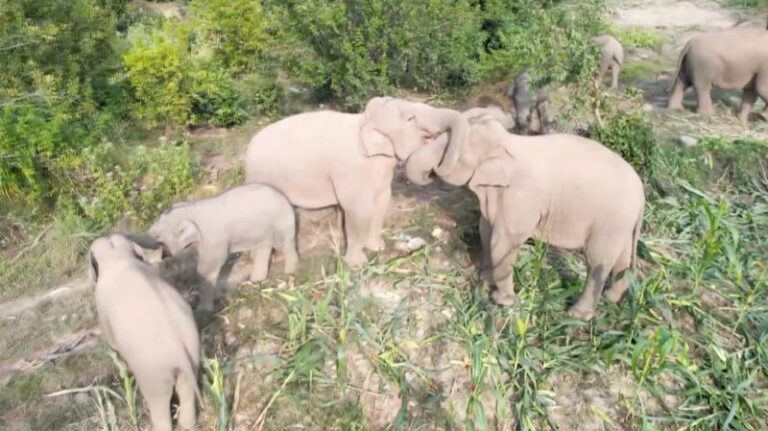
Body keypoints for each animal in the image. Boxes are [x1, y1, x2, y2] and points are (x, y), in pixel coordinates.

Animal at [89, 234, 200, 431]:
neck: (117, 257)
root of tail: (178, 348)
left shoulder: (102, 309)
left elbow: (112, 342)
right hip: (192, 355)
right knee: (186, 391)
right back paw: (188, 425)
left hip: (154, 375)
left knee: (160, 404)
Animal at [144, 183, 299, 311]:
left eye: (157, 237)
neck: (192, 208)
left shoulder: (213, 239)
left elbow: (207, 268)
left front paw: (203, 310)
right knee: (264, 247)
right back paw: (256, 280)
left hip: (280, 223)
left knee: (285, 244)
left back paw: (290, 271)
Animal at [244, 96, 469, 267]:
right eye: (411, 118)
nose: (432, 173)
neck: (365, 120)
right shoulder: (352, 169)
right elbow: (359, 210)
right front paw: (357, 264)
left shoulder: (379, 168)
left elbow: (382, 201)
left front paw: (377, 247)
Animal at [405, 112, 645, 321]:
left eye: (448, 149)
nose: (431, 175)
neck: (508, 143)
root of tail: (642, 193)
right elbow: (486, 230)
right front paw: (486, 279)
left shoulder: (520, 197)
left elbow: (503, 242)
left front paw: (502, 301)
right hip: (622, 224)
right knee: (621, 259)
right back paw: (612, 298)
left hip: (610, 220)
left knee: (598, 261)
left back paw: (577, 315)